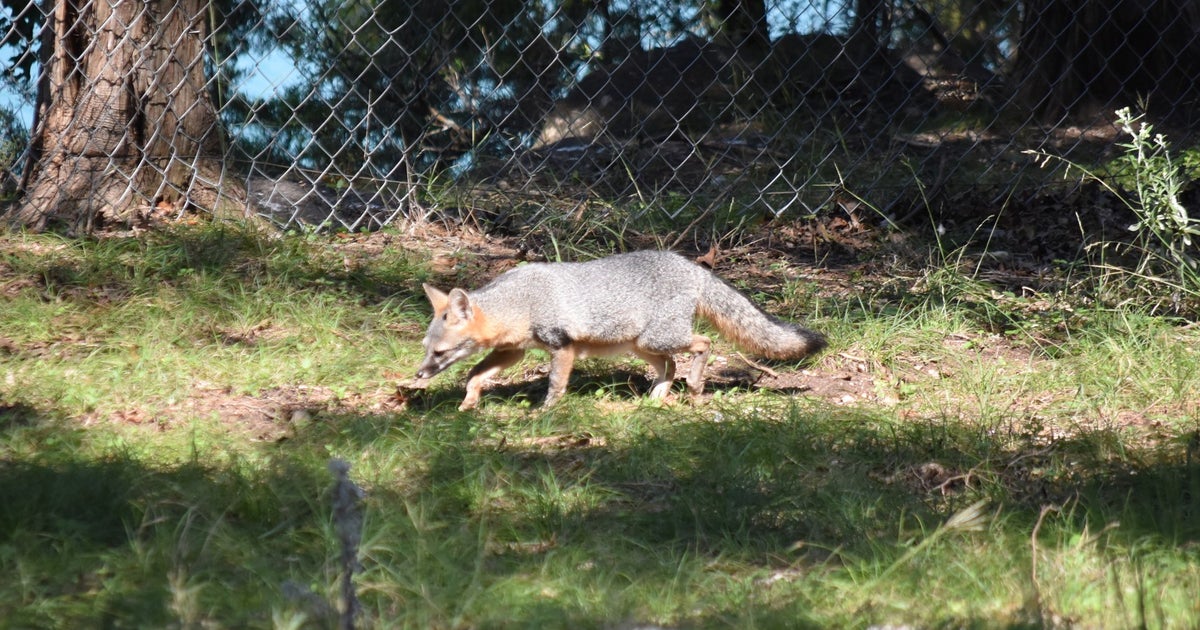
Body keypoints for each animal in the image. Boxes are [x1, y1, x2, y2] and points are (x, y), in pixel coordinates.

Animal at [415, 250, 826, 410]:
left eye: (440, 352)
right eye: (425, 348)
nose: (418, 374)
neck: (522, 301)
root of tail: (689, 264)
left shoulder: (562, 347)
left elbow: (556, 383)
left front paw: (545, 412)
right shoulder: (513, 350)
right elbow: (474, 374)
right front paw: (468, 402)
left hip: (658, 338)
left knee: (702, 344)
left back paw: (694, 387)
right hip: (641, 345)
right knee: (670, 366)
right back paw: (656, 398)